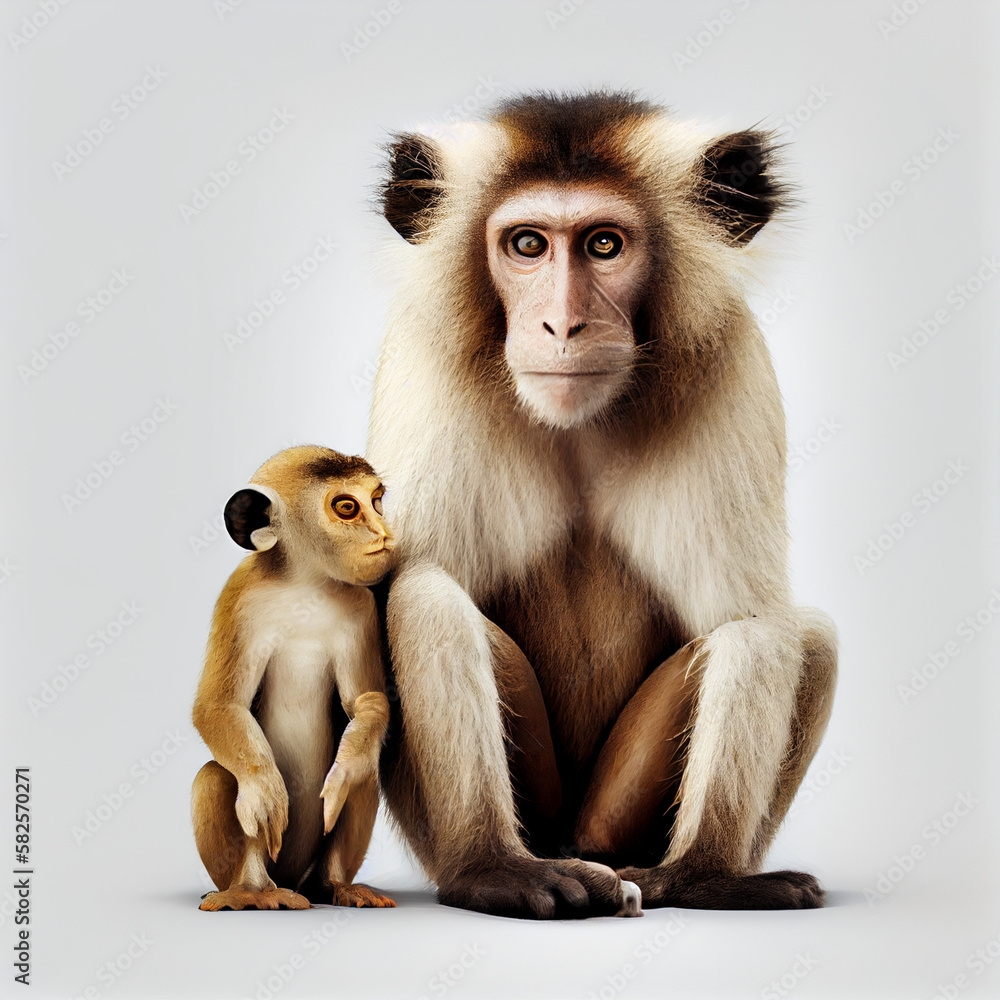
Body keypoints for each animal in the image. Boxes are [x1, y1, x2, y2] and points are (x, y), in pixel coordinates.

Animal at [191, 445, 396, 911]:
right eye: (346, 507)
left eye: (377, 500)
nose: (385, 535)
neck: (305, 584)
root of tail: (295, 880)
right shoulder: (240, 597)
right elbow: (218, 706)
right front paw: (264, 788)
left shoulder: (360, 606)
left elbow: (365, 703)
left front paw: (348, 762)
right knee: (217, 776)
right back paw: (250, 890)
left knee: (364, 777)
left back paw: (335, 885)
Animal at [366, 91, 837, 918]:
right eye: (527, 245)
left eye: (605, 245)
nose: (562, 324)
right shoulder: (424, 356)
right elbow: (394, 586)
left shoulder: (729, 361)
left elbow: (749, 621)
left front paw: (708, 874)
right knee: (422, 593)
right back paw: (489, 865)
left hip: (615, 821)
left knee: (804, 635)